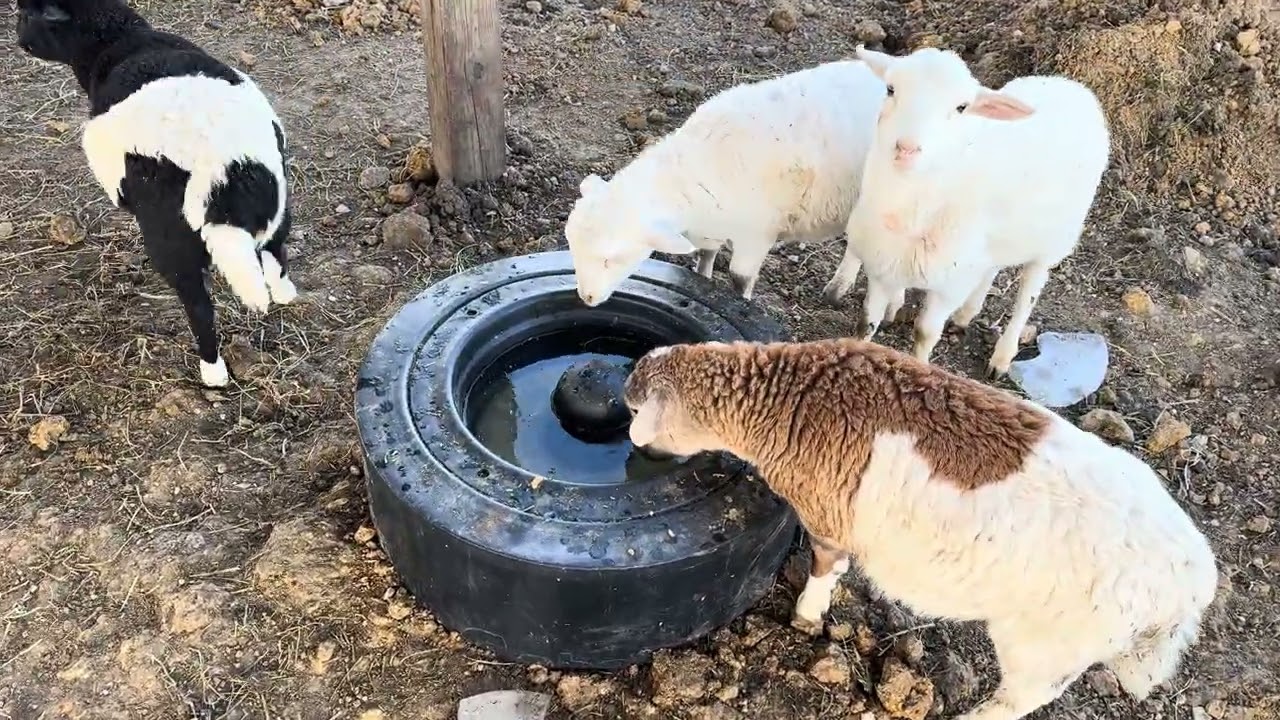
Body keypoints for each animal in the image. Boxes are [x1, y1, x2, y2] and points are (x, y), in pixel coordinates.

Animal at [15, 0, 296, 388]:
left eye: (27, 14)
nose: (18, 40)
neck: (119, 37)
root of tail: (224, 171)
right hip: (277, 199)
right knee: (276, 250)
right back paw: (284, 295)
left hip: (172, 244)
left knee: (200, 308)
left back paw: (213, 372)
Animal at [565, 60, 904, 318]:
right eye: (572, 246)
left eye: (611, 259)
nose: (587, 298)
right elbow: (704, 257)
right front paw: (701, 281)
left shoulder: (756, 235)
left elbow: (739, 278)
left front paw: (741, 303)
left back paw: (844, 290)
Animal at [623, 338, 1218, 720]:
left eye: (633, 411)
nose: (636, 449)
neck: (789, 396)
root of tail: (1191, 582)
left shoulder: (828, 514)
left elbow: (825, 567)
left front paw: (806, 618)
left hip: (1050, 650)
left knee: (1017, 703)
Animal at [823, 46, 1110, 377]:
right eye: (890, 89)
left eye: (962, 107)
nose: (906, 148)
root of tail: (1073, 87)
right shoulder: (883, 264)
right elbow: (866, 322)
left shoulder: (950, 284)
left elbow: (925, 332)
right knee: (992, 268)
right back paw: (965, 315)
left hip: (1052, 244)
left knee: (1028, 295)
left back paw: (1002, 356)